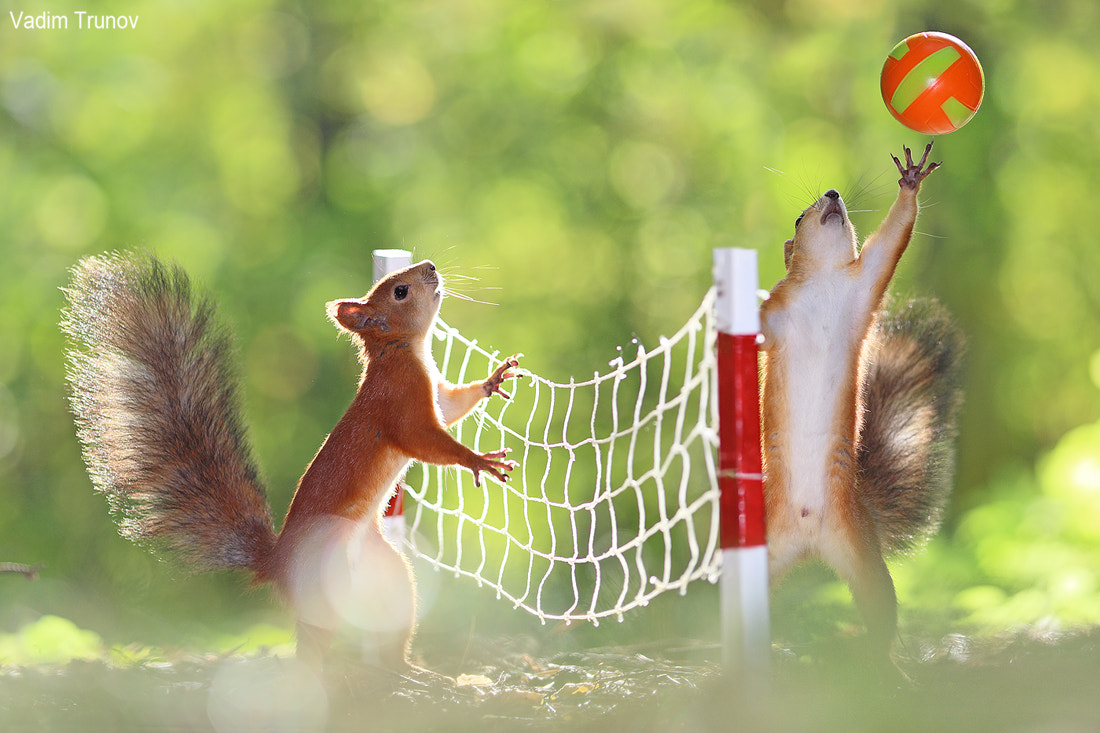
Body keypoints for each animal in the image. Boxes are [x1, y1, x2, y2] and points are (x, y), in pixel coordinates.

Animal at [61, 253, 519, 669]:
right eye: (400, 291)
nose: (430, 266)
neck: (400, 351)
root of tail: (278, 565)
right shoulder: (400, 405)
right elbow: (425, 442)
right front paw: (478, 460)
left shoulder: (436, 394)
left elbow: (453, 405)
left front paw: (492, 381)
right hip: (325, 576)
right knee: (312, 641)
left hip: (387, 573)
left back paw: (404, 669)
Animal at [760, 142, 964, 659]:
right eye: (799, 217)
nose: (833, 195)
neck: (824, 282)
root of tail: (809, 541)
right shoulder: (775, 313)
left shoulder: (863, 287)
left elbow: (891, 240)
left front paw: (910, 182)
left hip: (863, 558)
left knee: (880, 615)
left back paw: (883, 666)